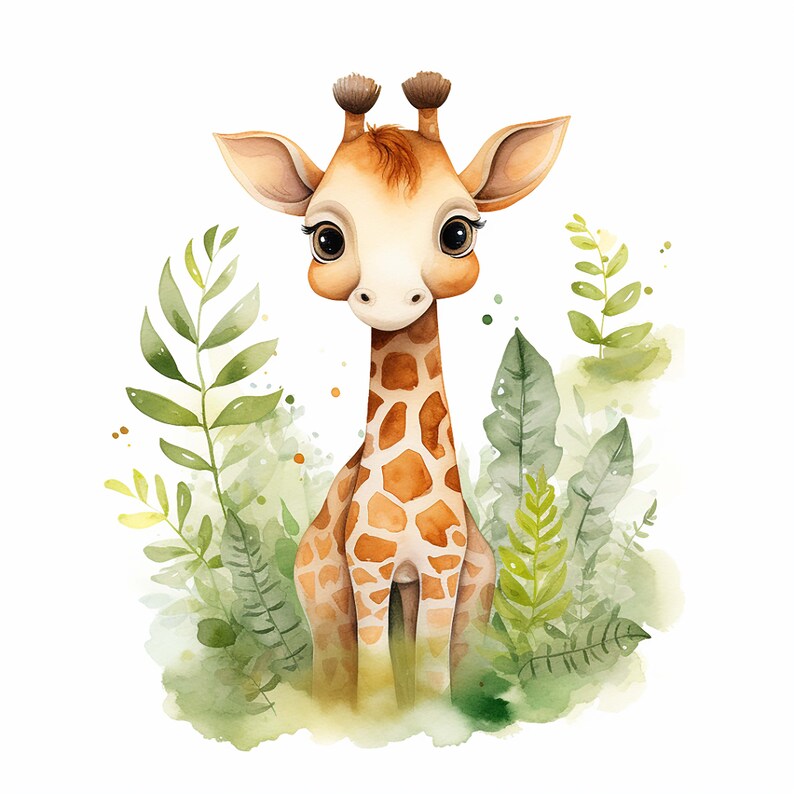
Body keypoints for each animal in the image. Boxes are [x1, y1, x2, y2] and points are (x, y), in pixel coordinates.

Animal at [214, 72, 569, 709]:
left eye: (457, 232)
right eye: (326, 238)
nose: (387, 297)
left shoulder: (444, 570)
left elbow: (430, 679)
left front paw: (430, 721)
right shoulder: (367, 569)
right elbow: (375, 686)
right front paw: (380, 720)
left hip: (476, 599)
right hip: (324, 606)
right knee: (333, 674)